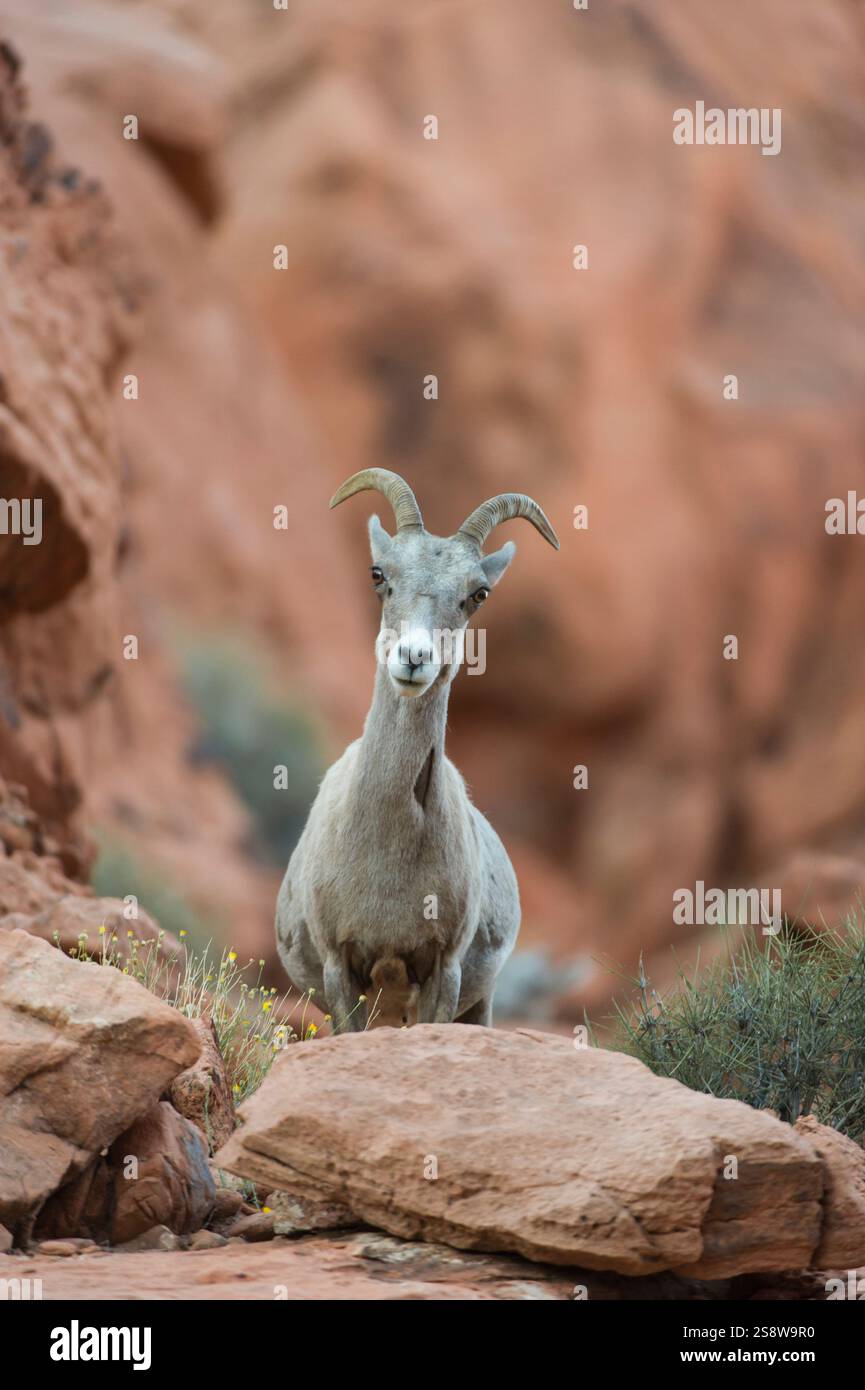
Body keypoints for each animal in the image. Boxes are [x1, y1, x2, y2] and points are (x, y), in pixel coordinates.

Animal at [275, 468, 559, 1030]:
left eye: (478, 593)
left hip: (480, 1005)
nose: (413, 657)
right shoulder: (340, 971)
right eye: (378, 574)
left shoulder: (443, 972)